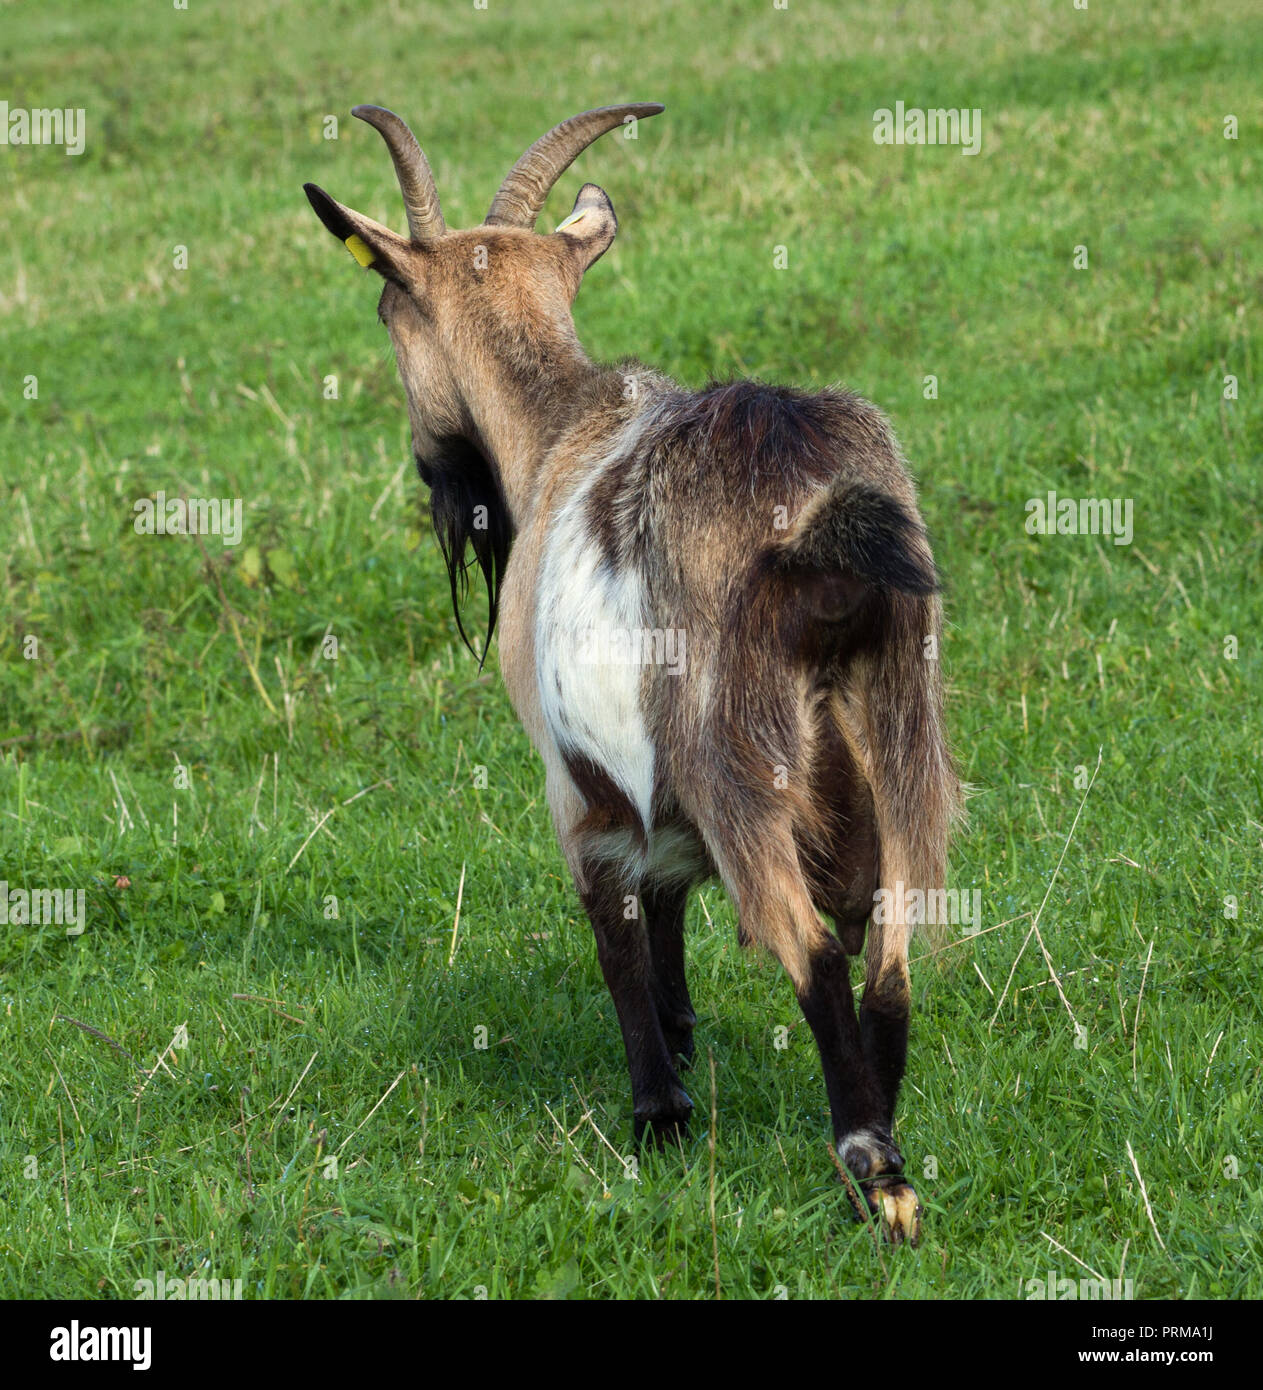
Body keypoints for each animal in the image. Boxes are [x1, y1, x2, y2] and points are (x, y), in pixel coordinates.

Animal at [304, 103, 959, 1244]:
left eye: (388, 307)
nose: (434, 471)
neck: (562, 432)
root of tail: (818, 522)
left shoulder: (576, 783)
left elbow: (614, 927)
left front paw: (658, 1109)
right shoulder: (654, 794)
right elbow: (663, 902)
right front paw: (685, 1033)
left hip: (737, 753)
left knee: (814, 951)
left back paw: (871, 1167)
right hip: (899, 731)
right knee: (890, 955)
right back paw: (882, 1131)